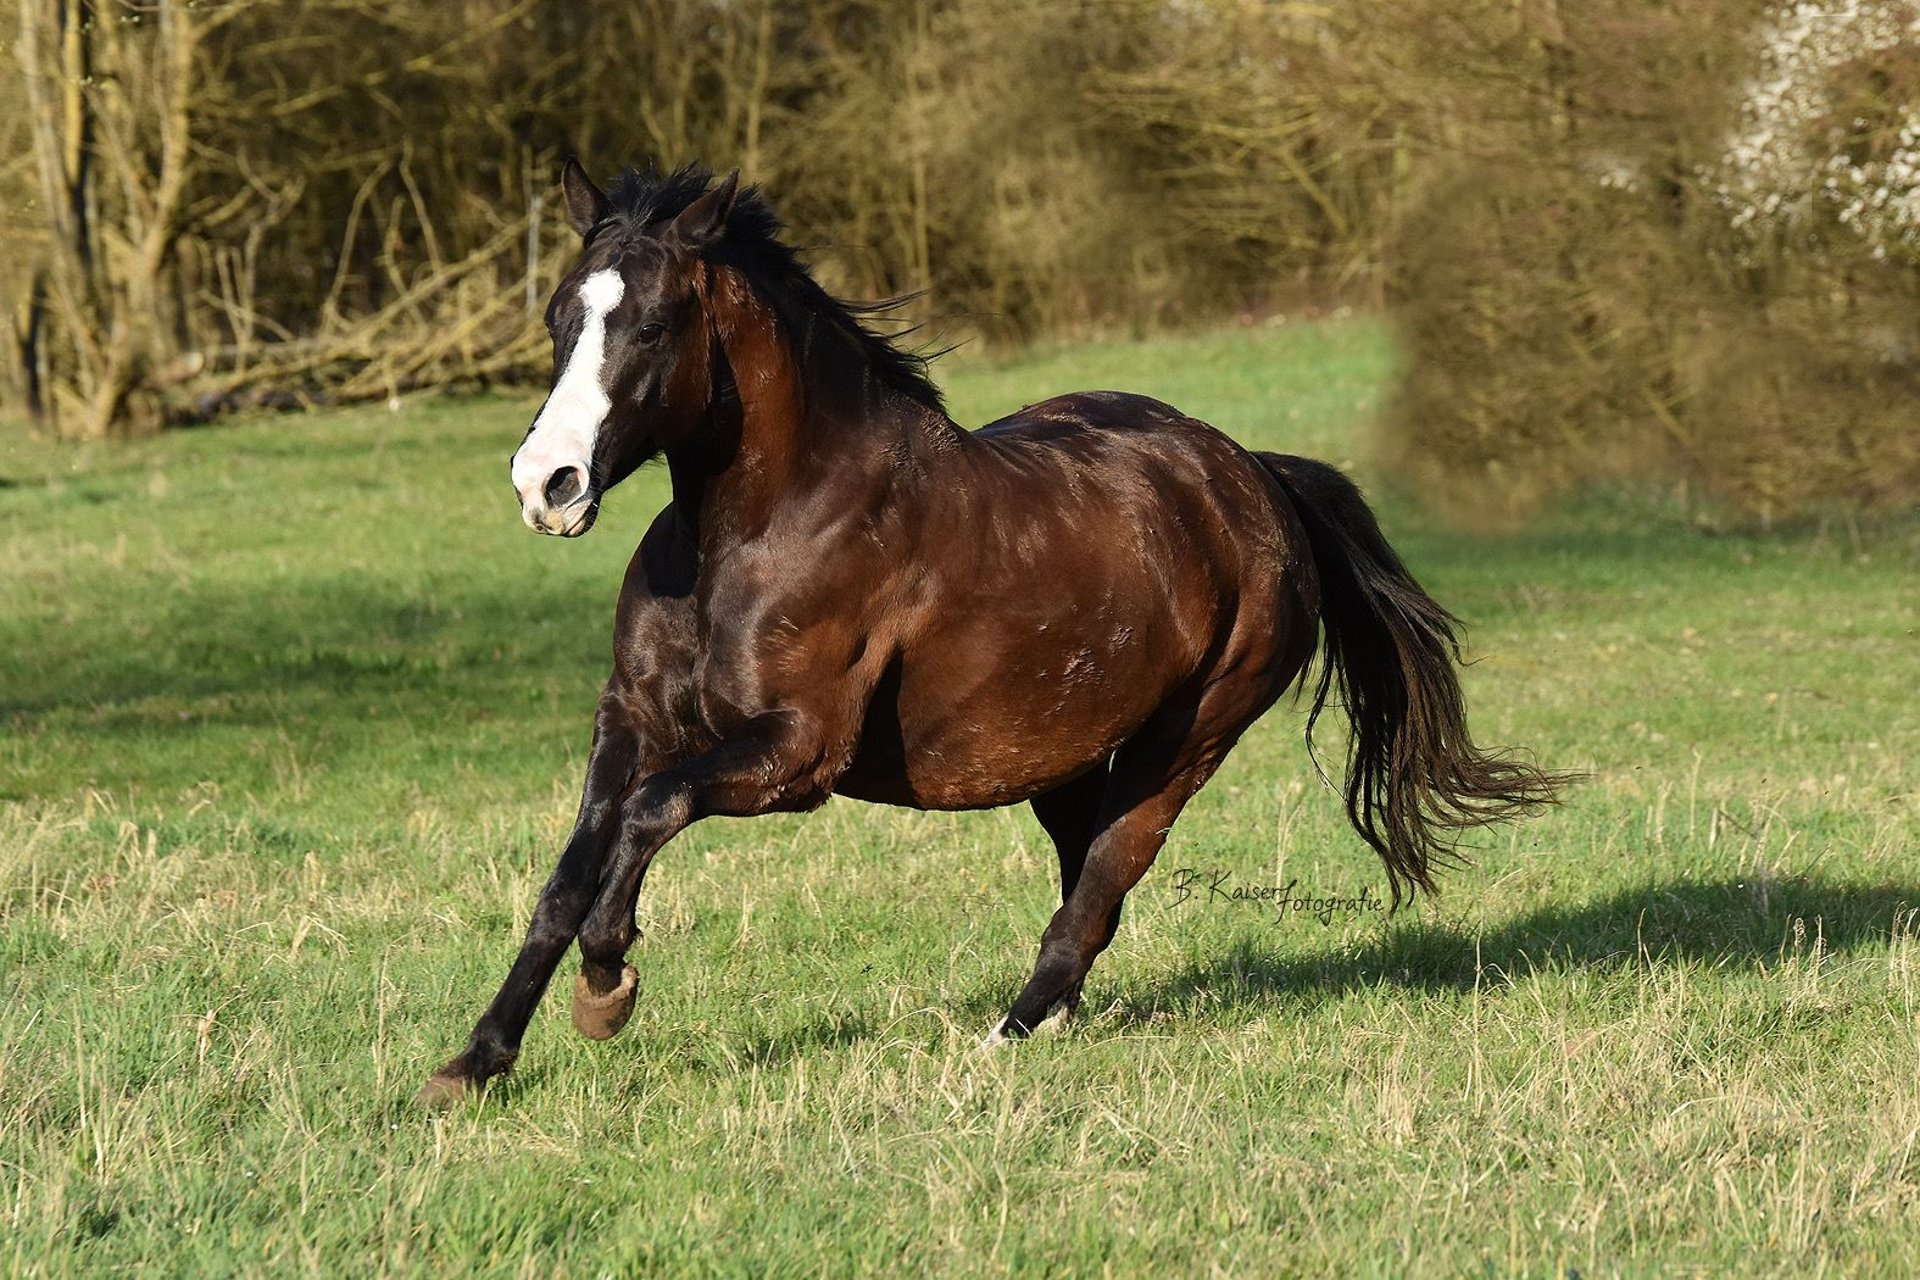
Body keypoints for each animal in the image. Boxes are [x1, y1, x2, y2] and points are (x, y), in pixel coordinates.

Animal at [416, 161, 1568, 1107]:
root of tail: (1254, 472)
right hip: (1064, 748)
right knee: (1084, 865)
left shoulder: (798, 754)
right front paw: (474, 1062)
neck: (757, 530)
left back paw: (1009, 1031)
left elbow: (651, 817)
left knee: (1103, 879)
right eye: (561, 315)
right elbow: (570, 875)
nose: (547, 486)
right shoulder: (632, 718)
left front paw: (608, 985)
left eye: (654, 325)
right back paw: (1053, 1018)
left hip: (1186, 741)